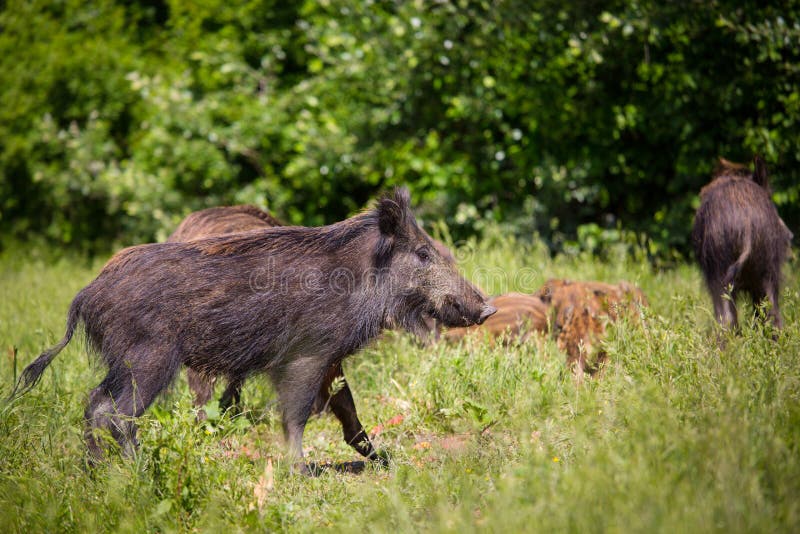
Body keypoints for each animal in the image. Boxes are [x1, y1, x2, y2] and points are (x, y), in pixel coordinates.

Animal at [13, 188, 496, 473]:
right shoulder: (304, 356)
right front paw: (299, 472)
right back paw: (138, 472)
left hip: (124, 360)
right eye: (423, 253)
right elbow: (297, 414)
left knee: (94, 402)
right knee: (113, 411)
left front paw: (383, 461)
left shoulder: (329, 359)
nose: (487, 307)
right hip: (148, 358)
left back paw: (101, 473)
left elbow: (349, 411)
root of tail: (86, 295)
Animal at [692, 156, 793, 331]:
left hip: (720, 272)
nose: (790, 236)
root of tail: (746, 224)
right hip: (768, 269)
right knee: (772, 314)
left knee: (726, 318)